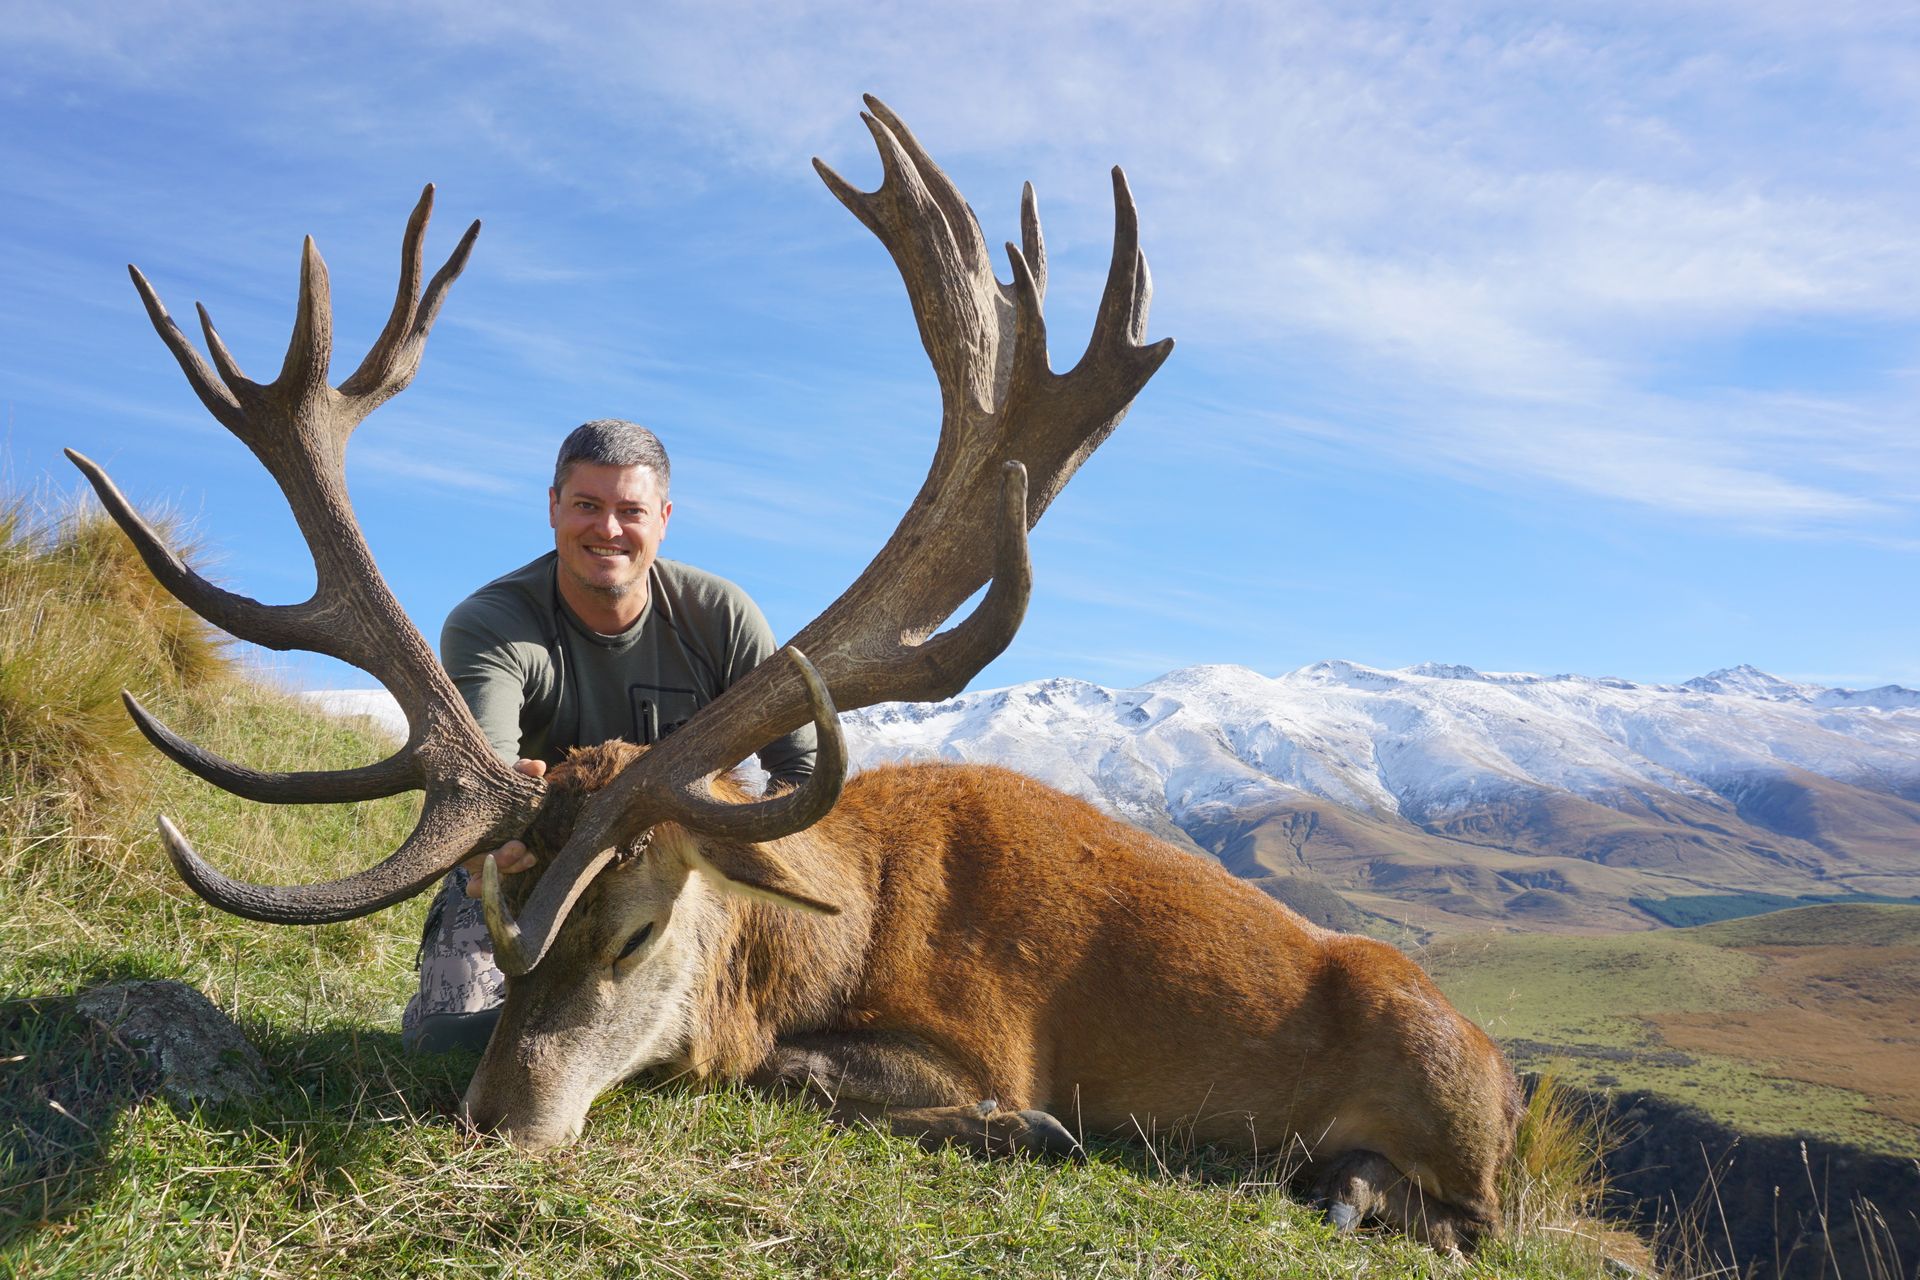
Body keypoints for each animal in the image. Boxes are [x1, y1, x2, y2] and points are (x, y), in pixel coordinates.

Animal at [71, 97, 1520, 1252]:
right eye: (496, 902)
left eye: (637, 929)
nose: (493, 1120)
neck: (813, 937)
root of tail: (1504, 1070)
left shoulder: (985, 1034)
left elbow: (804, 1072)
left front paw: (1021, 1130)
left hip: (1455, 1110)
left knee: (1473, 1219)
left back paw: (1354, 1188)